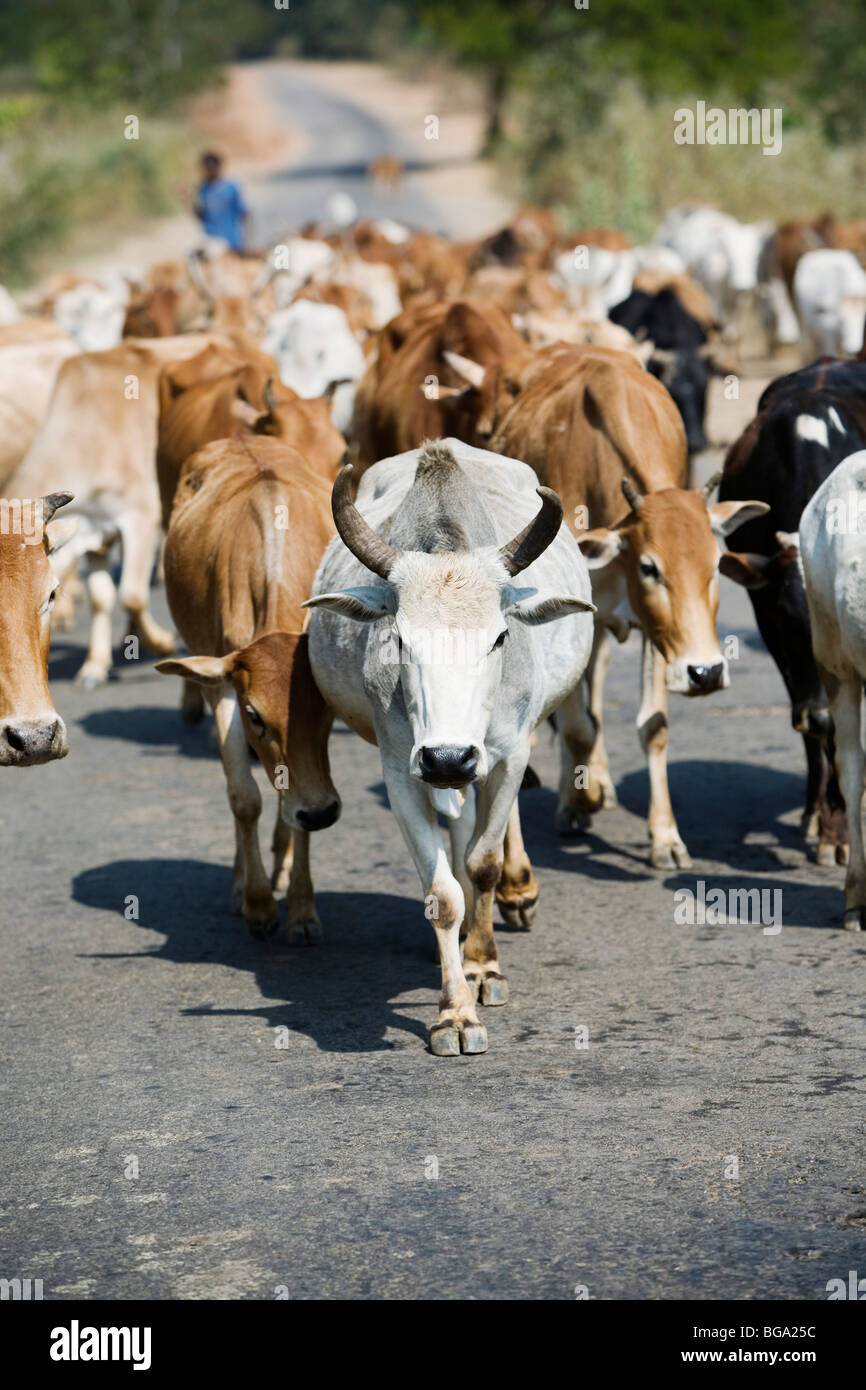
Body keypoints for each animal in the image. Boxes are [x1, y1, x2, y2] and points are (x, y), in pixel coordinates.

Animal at [305, 441, 595, 1054]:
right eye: (399, 638)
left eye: (500, 637)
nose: (446, 757)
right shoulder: (399, 772)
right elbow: (442, 893)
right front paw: (455, 1014)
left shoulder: (510, 757)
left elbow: (483, 863)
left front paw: (484, 966)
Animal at [441, 343, 768, 868]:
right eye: (650, 568)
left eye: (717, 565)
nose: (707, 673)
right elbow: (576, 728)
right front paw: (581, 798)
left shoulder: (659, 632)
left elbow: (652, 726)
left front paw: (666, 838)